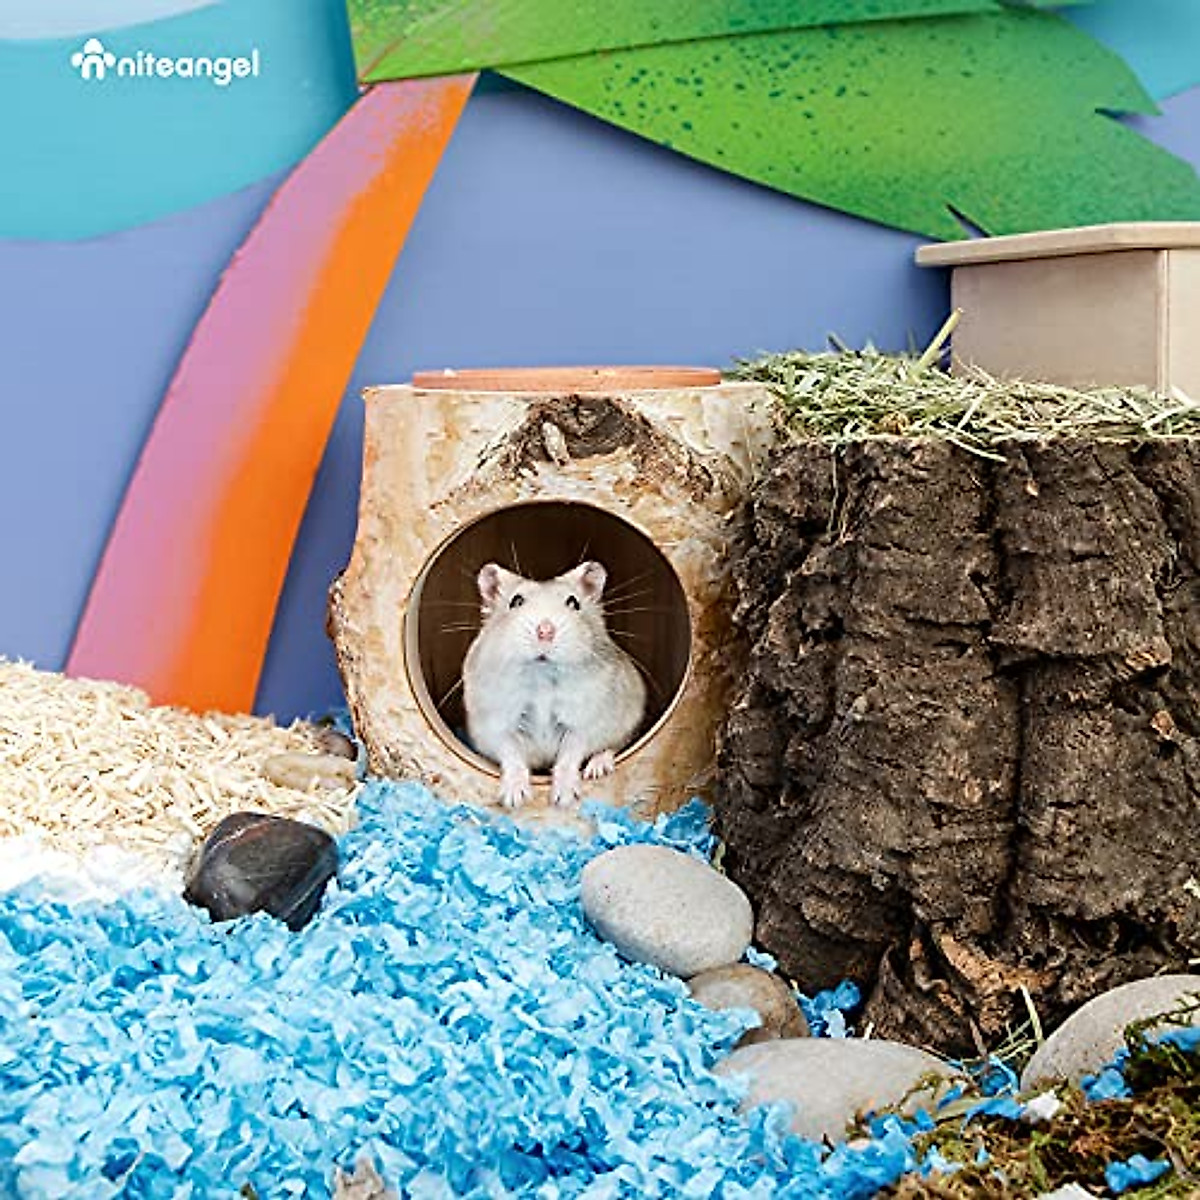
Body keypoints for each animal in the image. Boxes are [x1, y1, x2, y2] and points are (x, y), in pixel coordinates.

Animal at [462, 560, 647, 808]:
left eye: (573, 602)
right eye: (516, 601)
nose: (545, 630)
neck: (542, 678)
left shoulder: (583, 722)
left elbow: (570, 753)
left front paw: (564, 799)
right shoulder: (497, 727)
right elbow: (512, 754)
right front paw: (514, 799)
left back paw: (597, 768)